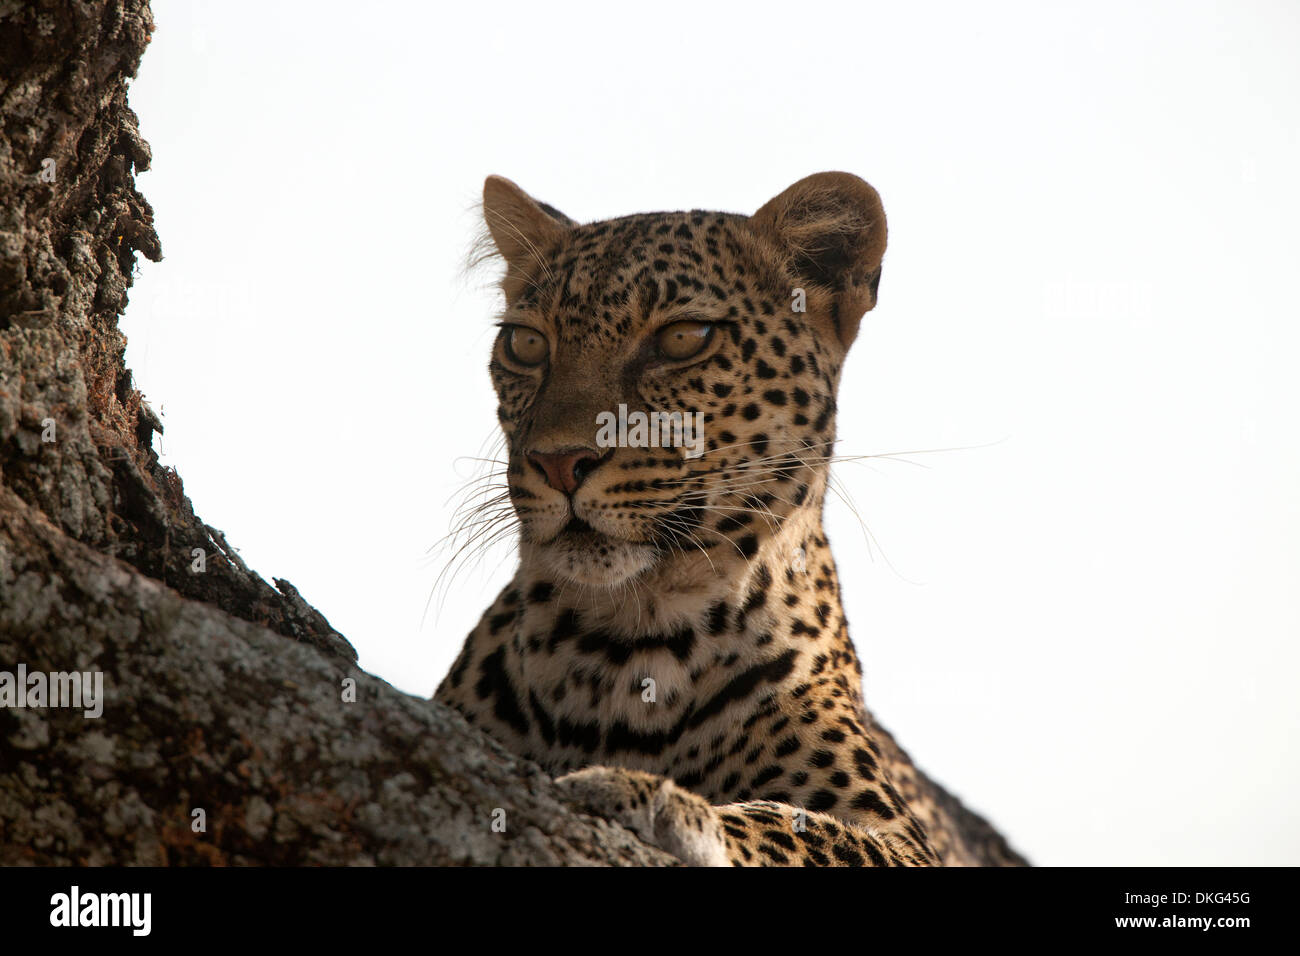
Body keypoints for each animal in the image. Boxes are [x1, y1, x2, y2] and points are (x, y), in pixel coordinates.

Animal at [434, 171, 1027, 867]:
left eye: (684, 338)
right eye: (525, 344)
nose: (557, 462)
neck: (621, 647)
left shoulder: (903, 840)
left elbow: (798, 827)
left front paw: (649, 797)